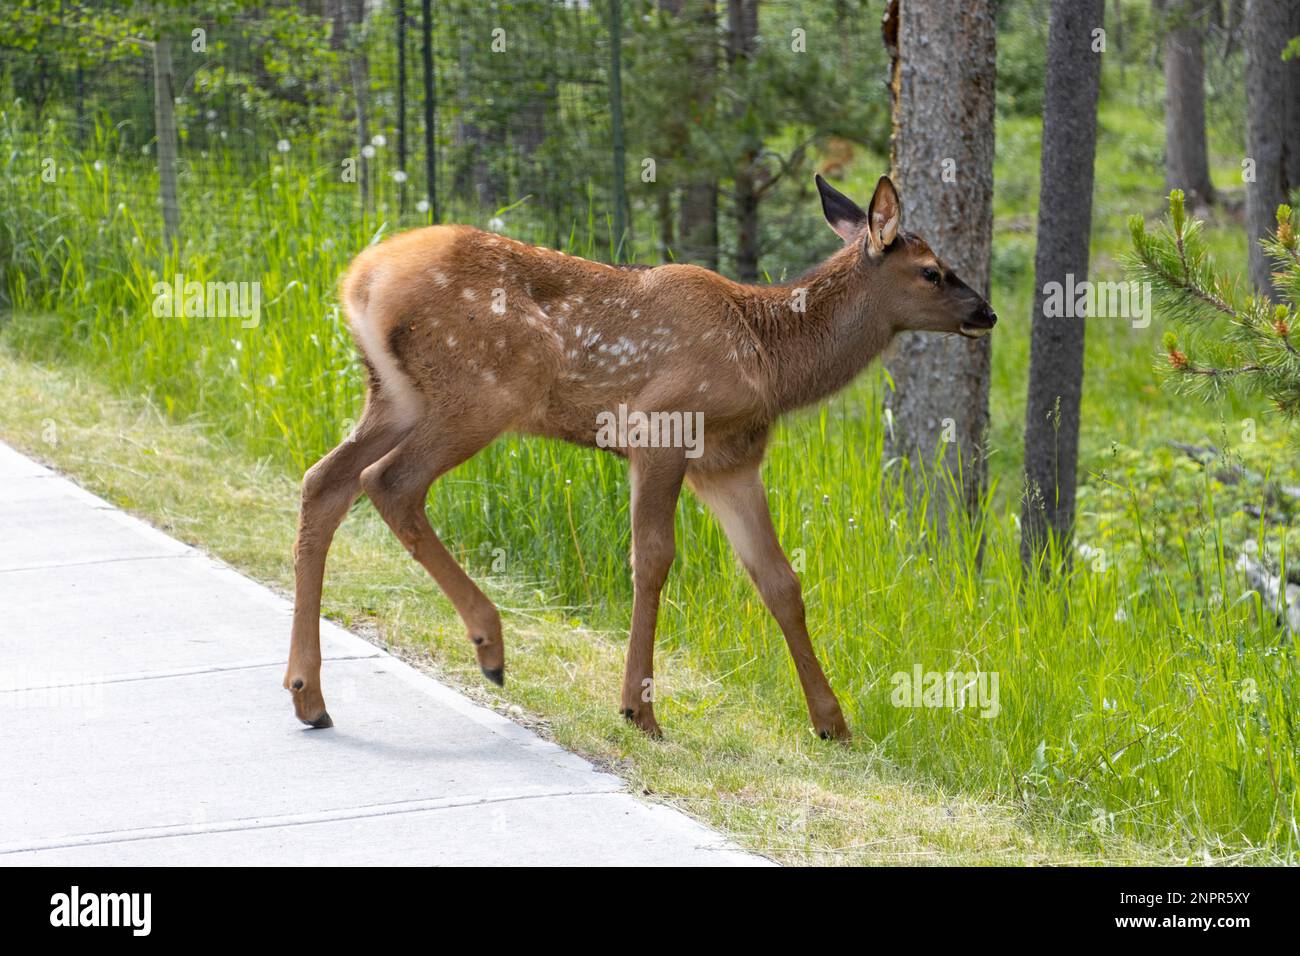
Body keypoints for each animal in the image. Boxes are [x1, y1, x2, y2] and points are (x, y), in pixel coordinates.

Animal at [285, 174, 996, 741]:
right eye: (933, 270)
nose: (986, 313)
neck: (770, 358)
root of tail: (358, 280)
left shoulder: (728, 465)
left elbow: (779, 581)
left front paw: (832, 722)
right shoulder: (660, 427)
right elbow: (653, 560)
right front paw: (638, 710)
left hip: (395, 396)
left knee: (325, 480)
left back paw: (308, 695)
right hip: (485, 391)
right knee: (389, 481)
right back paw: (489, 643)